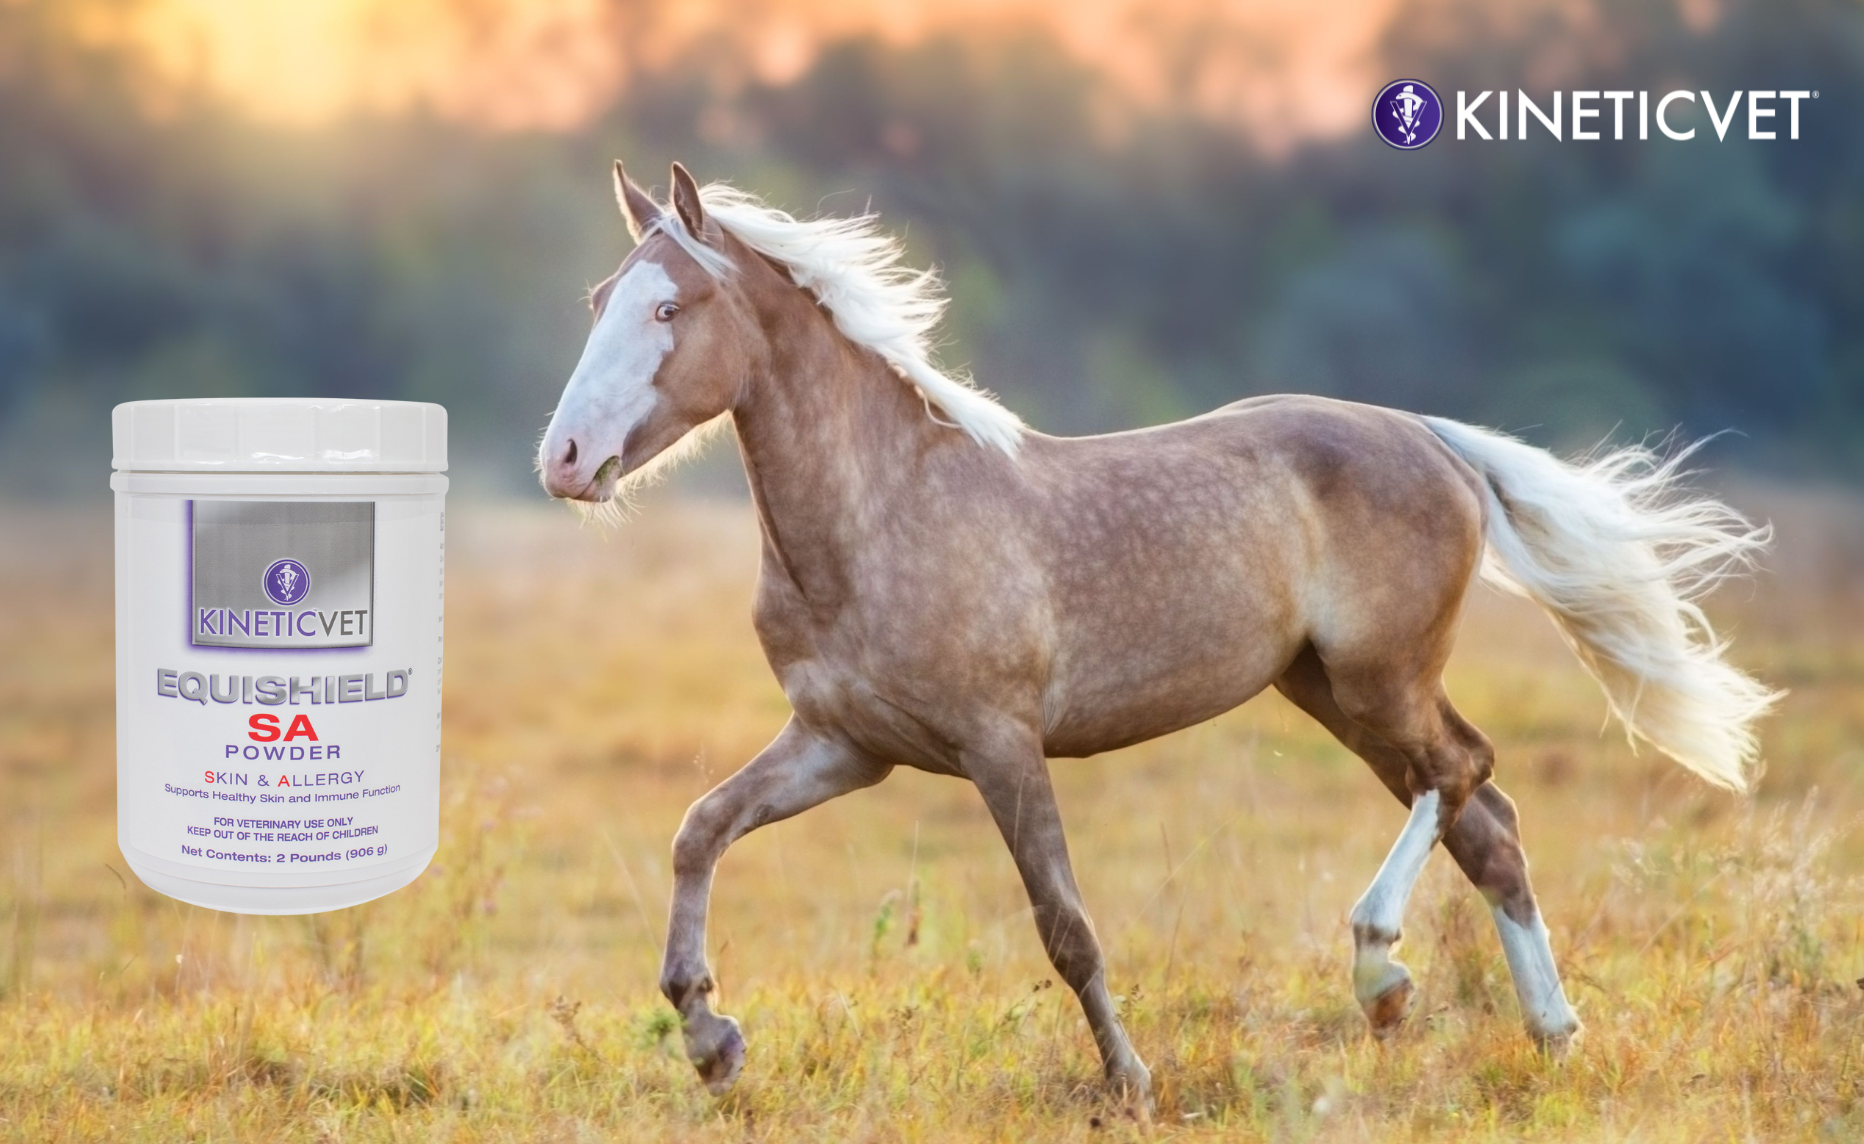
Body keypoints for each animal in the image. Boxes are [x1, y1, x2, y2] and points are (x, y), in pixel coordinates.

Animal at [538, 161, 1779, 1105]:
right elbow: (699, 830)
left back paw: (1381, 971)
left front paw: (1129, 1081)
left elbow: (1065, 924)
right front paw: (711, 1039)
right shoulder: (845, 745)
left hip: (1378, 679)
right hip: (1328, 692)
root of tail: (1431, 437)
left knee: (1463, 771)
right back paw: (1548, 1033)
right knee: (1491, 825)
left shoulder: (998, 744)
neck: (879, 512)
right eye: (595, 297)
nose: (564, 460)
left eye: (668, 309)